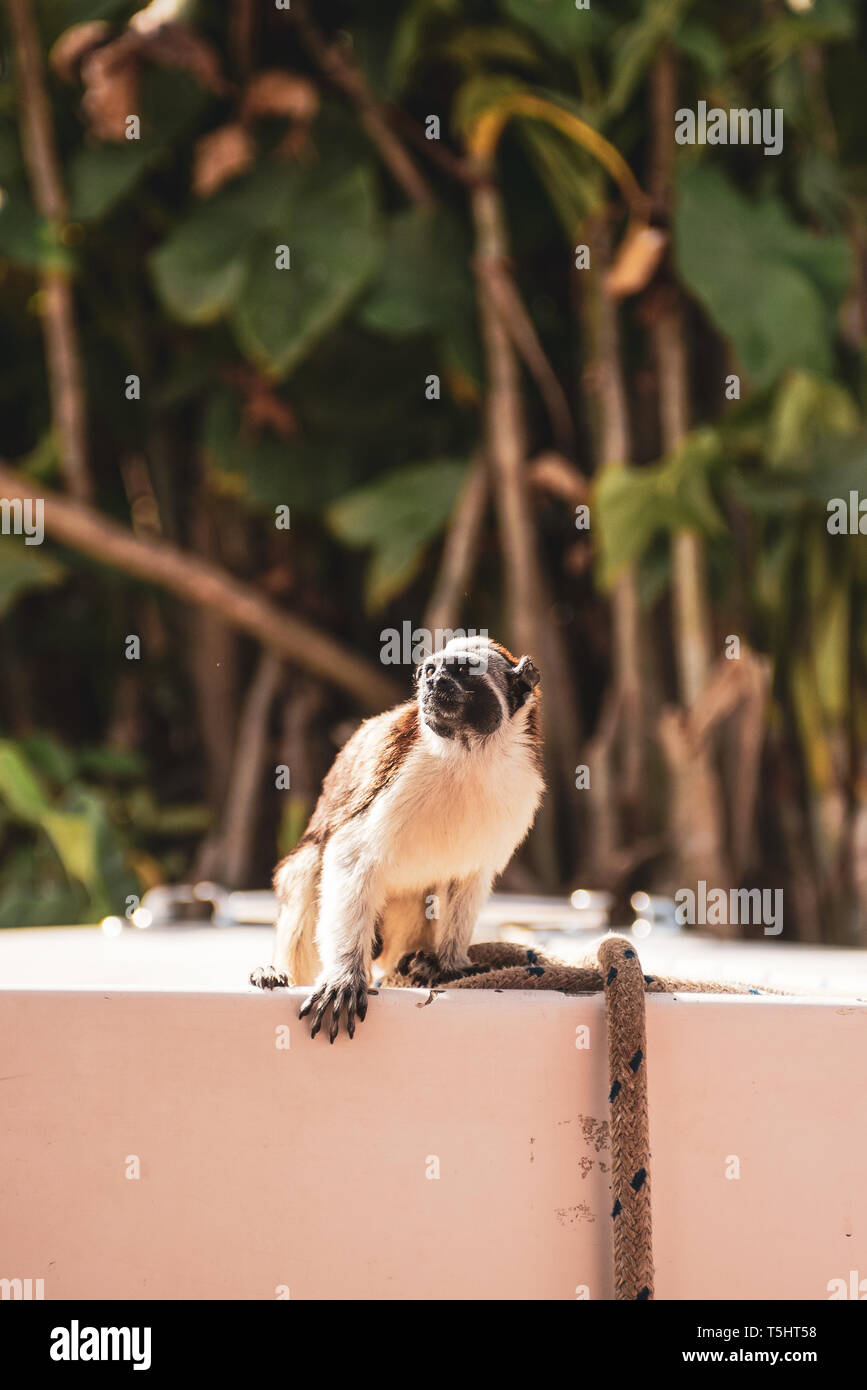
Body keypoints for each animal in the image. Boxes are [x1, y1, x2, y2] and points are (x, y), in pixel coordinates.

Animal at [250, 635, 544, 1041]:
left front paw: (447, 964)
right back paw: (278, 973)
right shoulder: (399, 772)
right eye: (430, 671)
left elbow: (470, 877)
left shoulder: (520, 788)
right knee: (309, 863)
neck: (469, 754)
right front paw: (344, 977)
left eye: (463, 670)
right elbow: (349, 853)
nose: (433, 684)